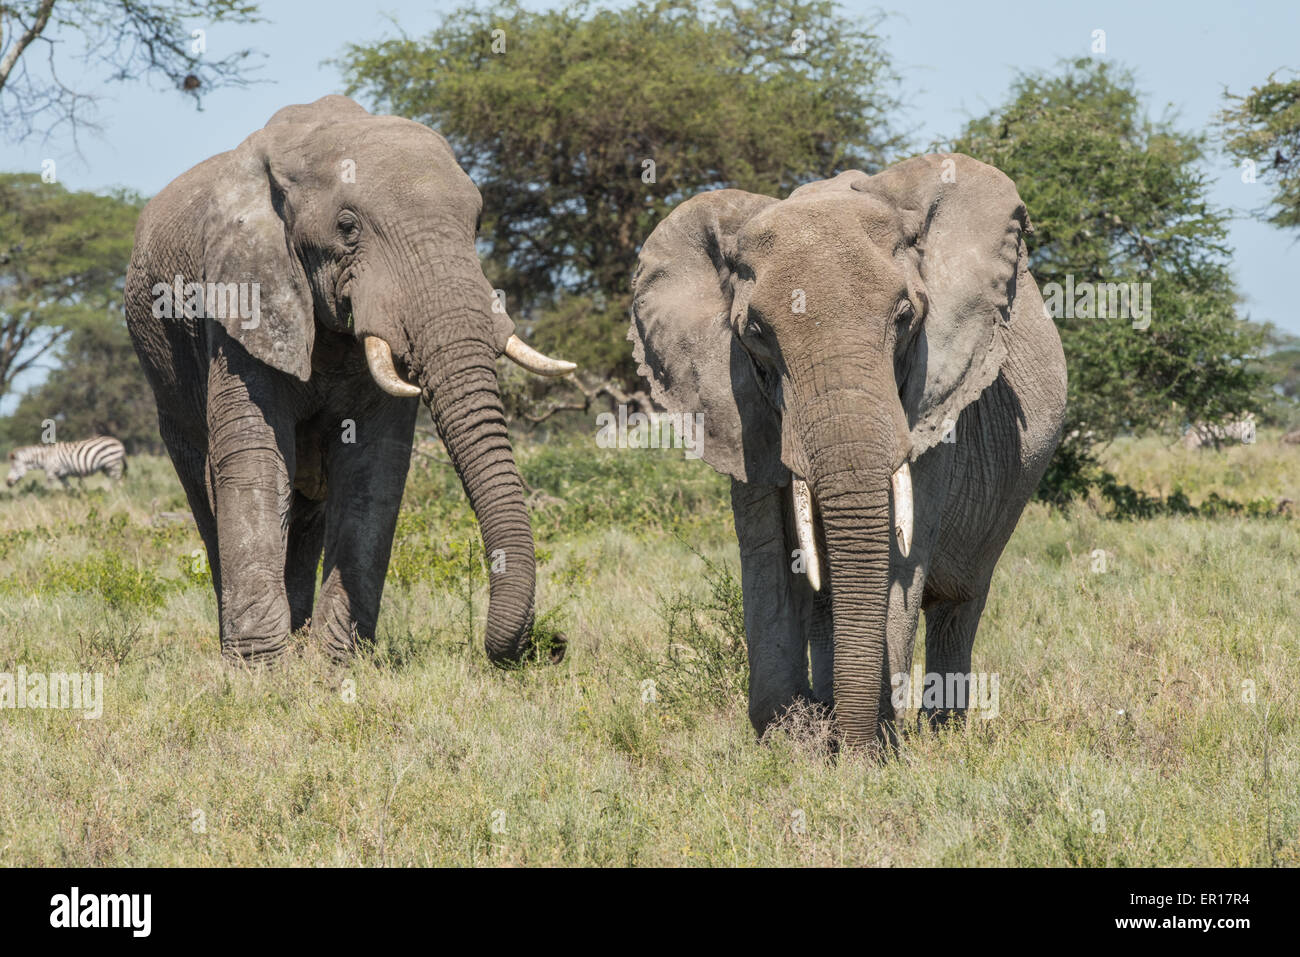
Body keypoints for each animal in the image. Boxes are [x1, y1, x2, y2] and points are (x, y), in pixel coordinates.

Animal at [125, 95, 576, 664]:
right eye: (347, 227)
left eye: (477, 222)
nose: (553, 643)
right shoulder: (239, 298)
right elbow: (254, 458)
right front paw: (259, 669)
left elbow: (372, 468)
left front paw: (335, 662)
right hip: (164, 374)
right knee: (207, 489)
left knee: (305, 509)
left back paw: (298, 635)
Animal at [629, 154, 1067, 750]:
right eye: (755, 333)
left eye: (905, 316)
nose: (852, 747)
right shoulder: (741, 411)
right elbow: (770, 554)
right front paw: (795, 742)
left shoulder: (930, 398)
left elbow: (901, 553)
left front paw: (870, 745)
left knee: (960, 604)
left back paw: (943, 736)